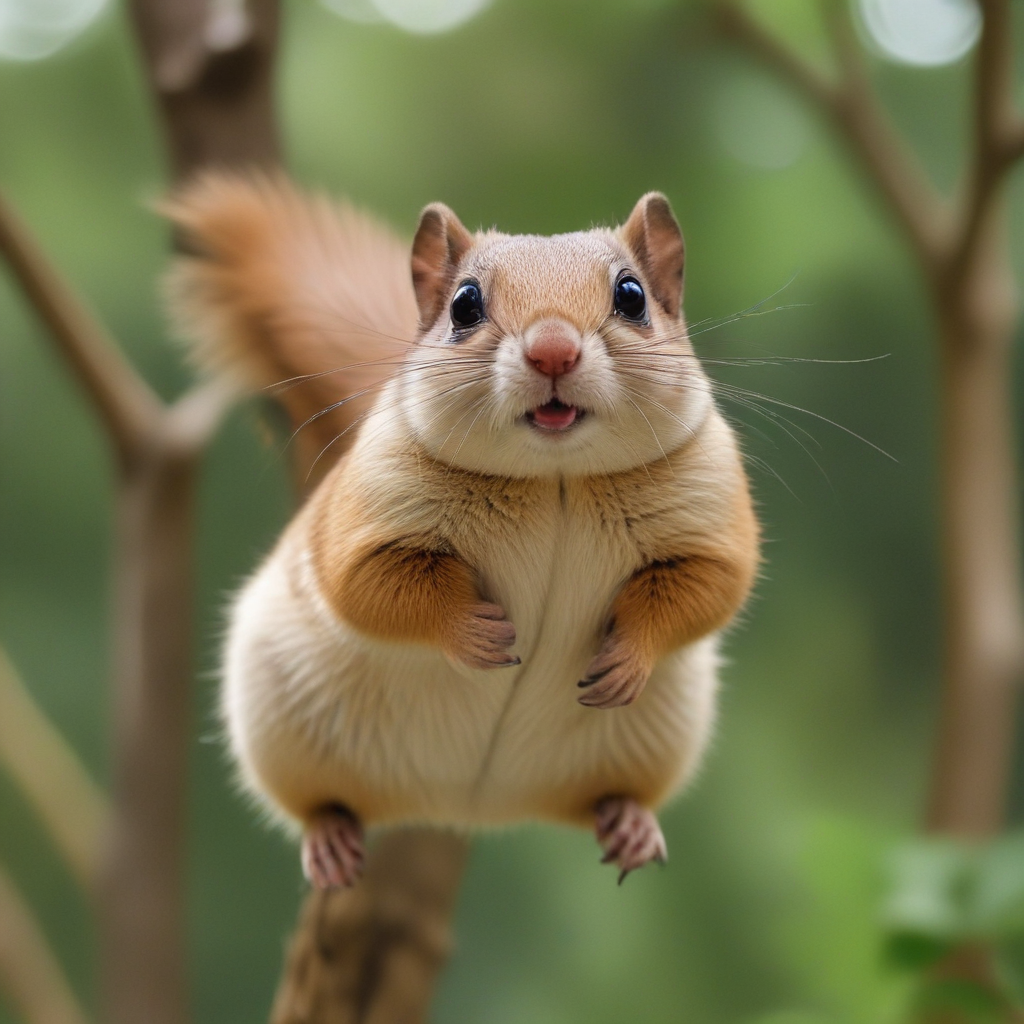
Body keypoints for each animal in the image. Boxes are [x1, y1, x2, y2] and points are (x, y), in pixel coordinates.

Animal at [164, 173, 760, 887]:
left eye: (632, 296)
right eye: (465, 305)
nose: (553, 350)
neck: (555, 478)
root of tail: (469, 807)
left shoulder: (709, 513)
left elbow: (708, 588)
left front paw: (628, 656)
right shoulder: (364, 520)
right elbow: (369, 584)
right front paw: (473, 632)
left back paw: (630, 821)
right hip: (281, 727)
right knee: (319, 800)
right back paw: (328, 836)